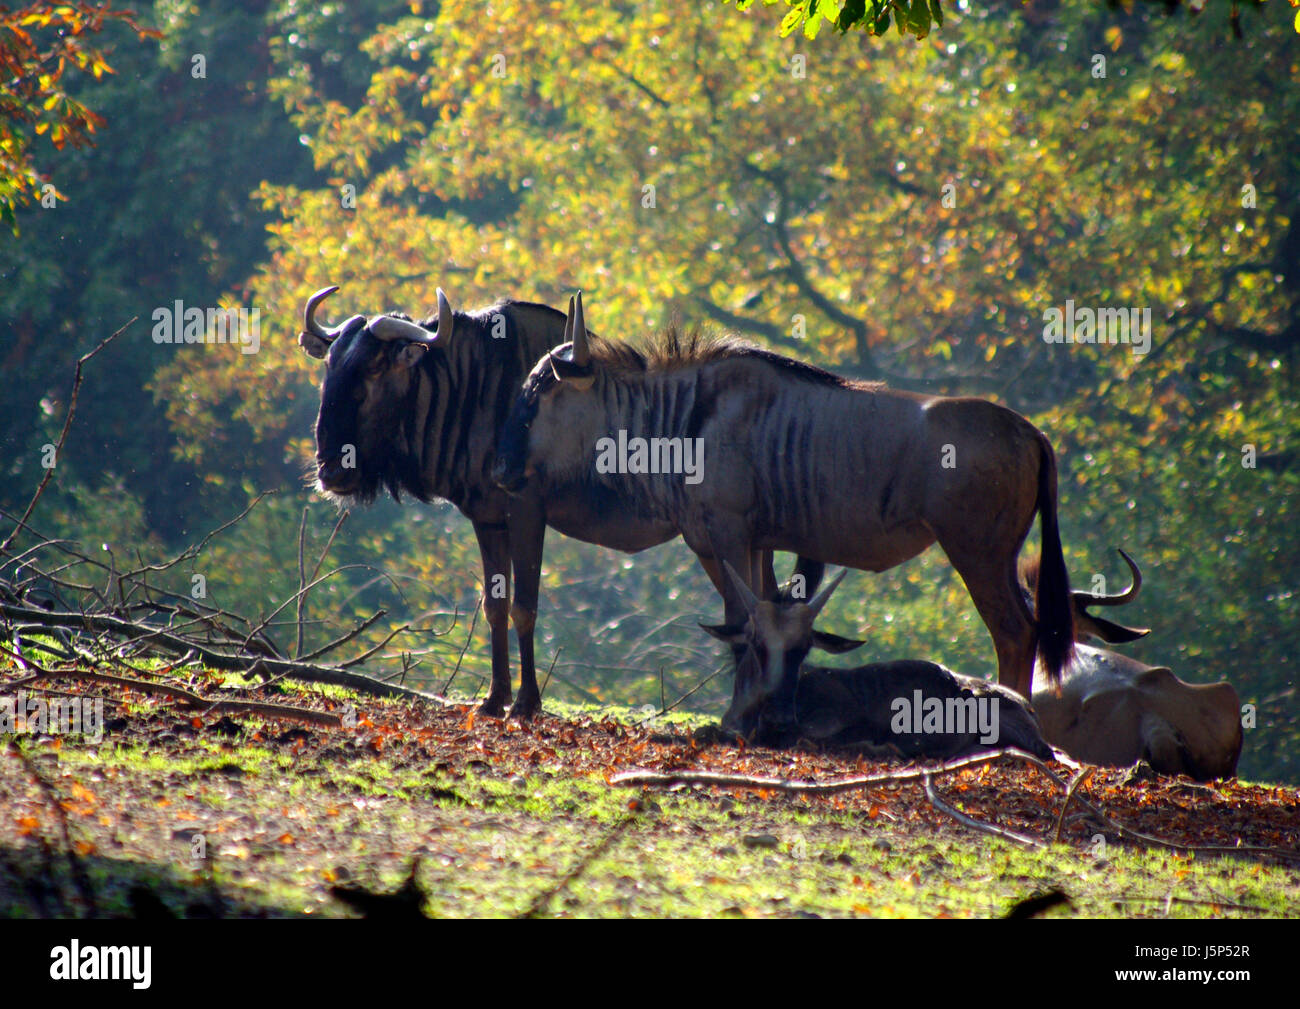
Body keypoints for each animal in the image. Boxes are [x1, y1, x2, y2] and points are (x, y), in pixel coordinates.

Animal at [298, 286, 824, 720]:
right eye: (329, 367)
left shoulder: (526, 512)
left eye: (375, 367)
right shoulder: (487, 520)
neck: (477, 388)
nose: (331, 469)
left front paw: (526, 703)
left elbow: (525, 608)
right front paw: (494, 699)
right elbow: (496, 604)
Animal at [492, 292, 1075, 734]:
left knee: (1013, 630)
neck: (686, 417)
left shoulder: (725, 535)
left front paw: (741, 717)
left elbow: (739, 620)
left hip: (976, 553)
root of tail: (1032, 432)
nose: (500, 471)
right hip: (999, 559)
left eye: (540, 394)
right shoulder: (750, 542)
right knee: (1025, 626)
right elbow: (758, 616)